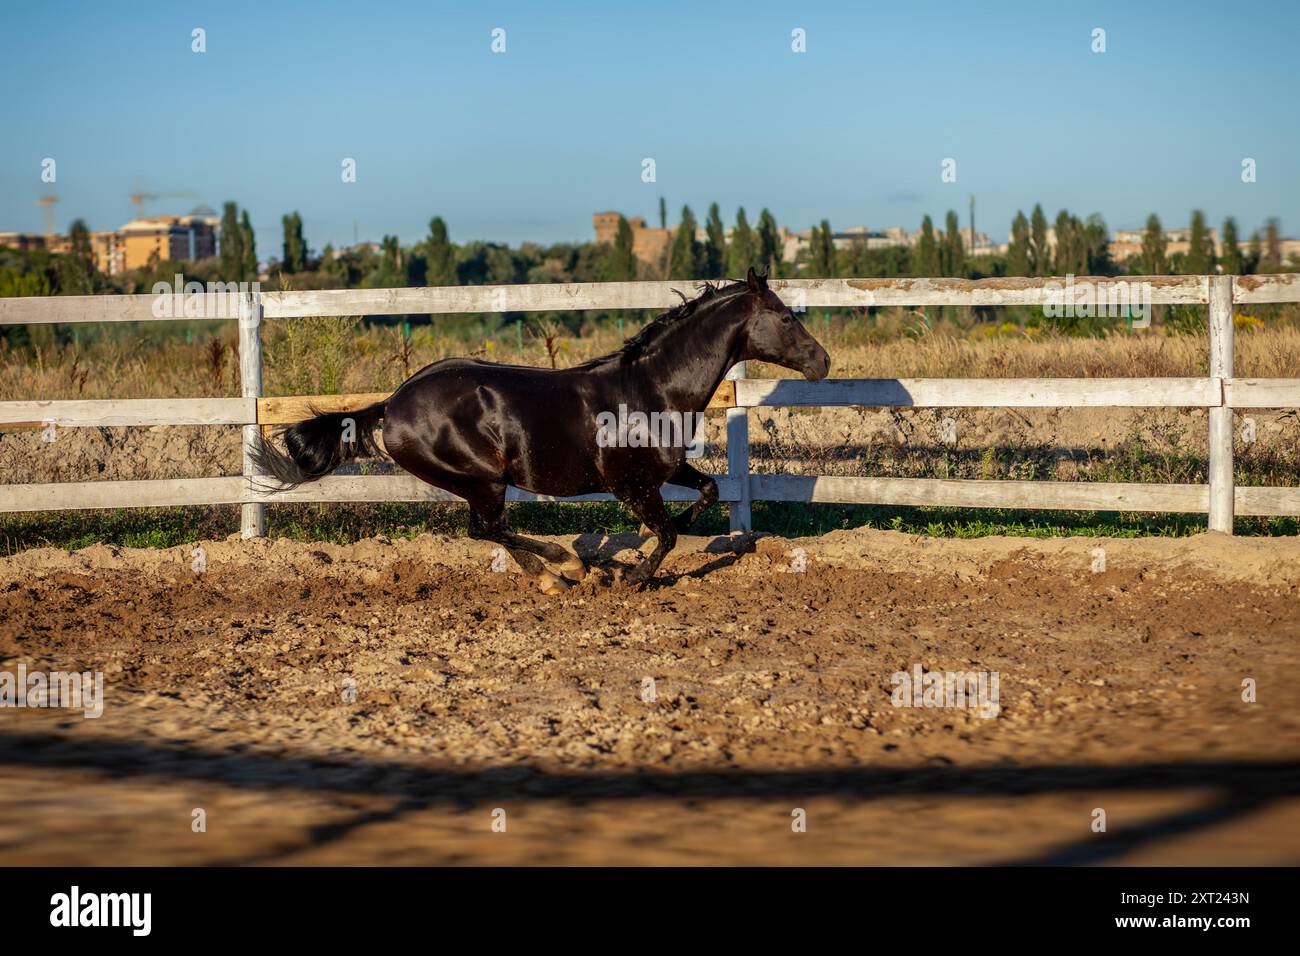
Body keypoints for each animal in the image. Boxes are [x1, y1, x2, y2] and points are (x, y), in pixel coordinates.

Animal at [252, 268, 830, 592]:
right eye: (784, 317)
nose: (823, 361)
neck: (652, 388)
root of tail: (392, 403)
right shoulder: (628, 484)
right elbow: (664, 532)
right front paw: (627, 575)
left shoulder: (666, 471)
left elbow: (705, 494)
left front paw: (651, 551)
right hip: (481, 478)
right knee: (487, 529)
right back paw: (565, 567)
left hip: (478, 483)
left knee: (488, 530)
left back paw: (557, 573)